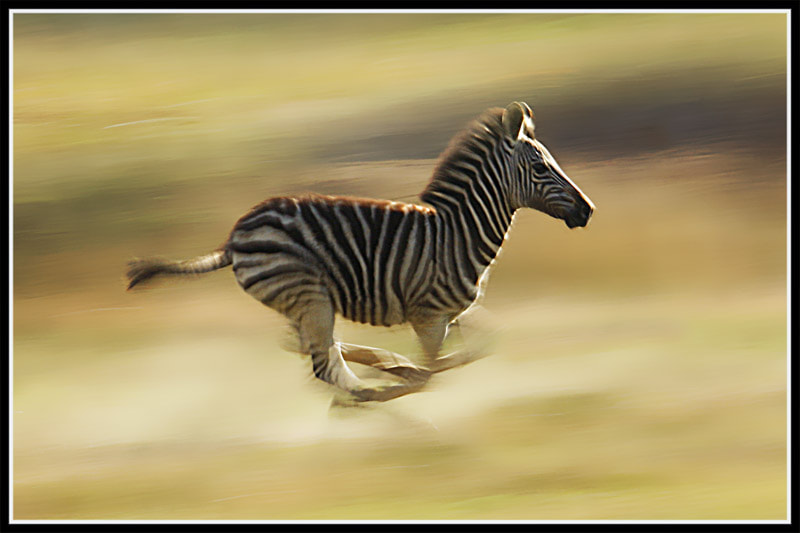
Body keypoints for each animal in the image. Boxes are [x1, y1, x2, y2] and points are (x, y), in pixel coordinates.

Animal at [126, 101, 594, 403]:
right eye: (541, 168)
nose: (588, 210)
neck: (457, 232)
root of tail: (234, 235)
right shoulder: (428, 317)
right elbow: (433, 373)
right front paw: (397, 383)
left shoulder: (457, 310)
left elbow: (482, 346)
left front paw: (398, 369)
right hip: (310, 294)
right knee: (323, 363)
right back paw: (367, 393)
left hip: (305, 301)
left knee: (307, 346)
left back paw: (378, 371)